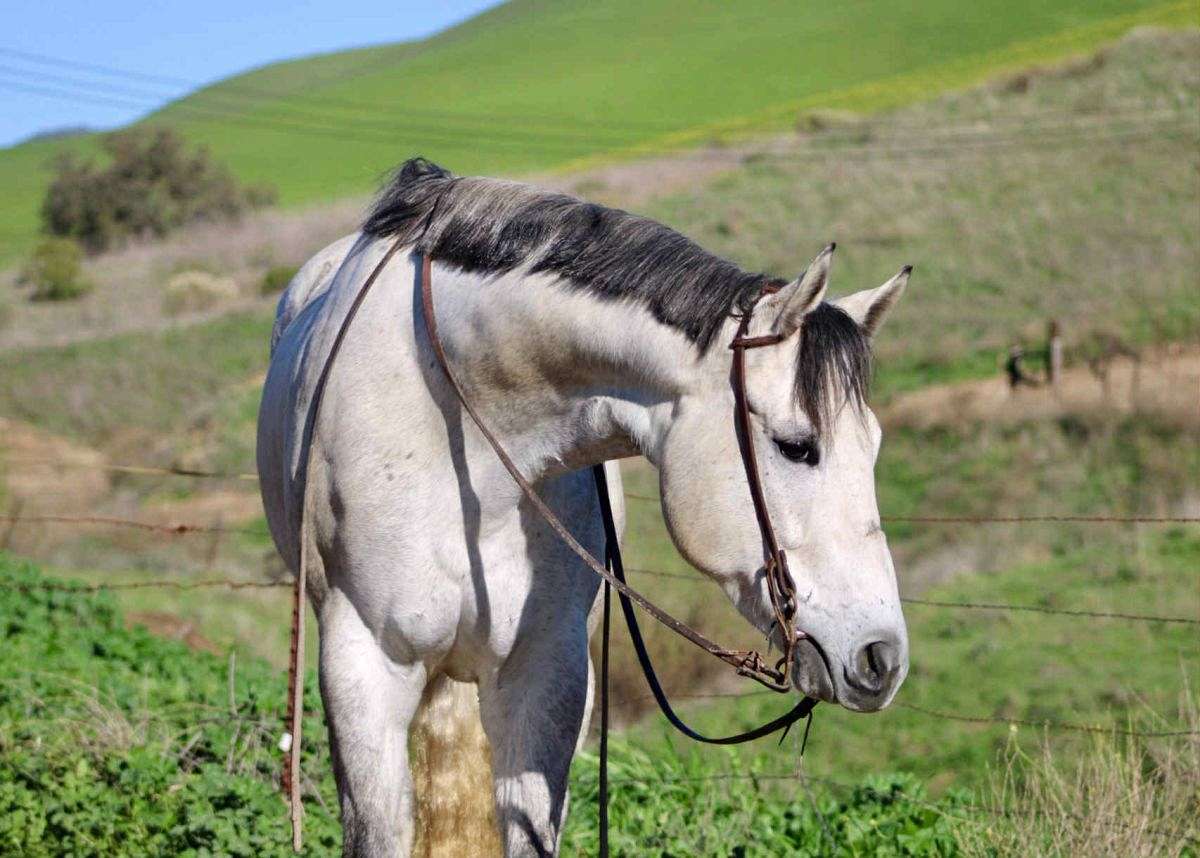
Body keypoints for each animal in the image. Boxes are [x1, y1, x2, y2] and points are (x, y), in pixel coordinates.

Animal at [257, 158, 912, 857]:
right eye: (796, 446)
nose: (882, 657)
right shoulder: (364, 669)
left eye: (875, 445)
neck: (457, 426)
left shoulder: (547, 671)